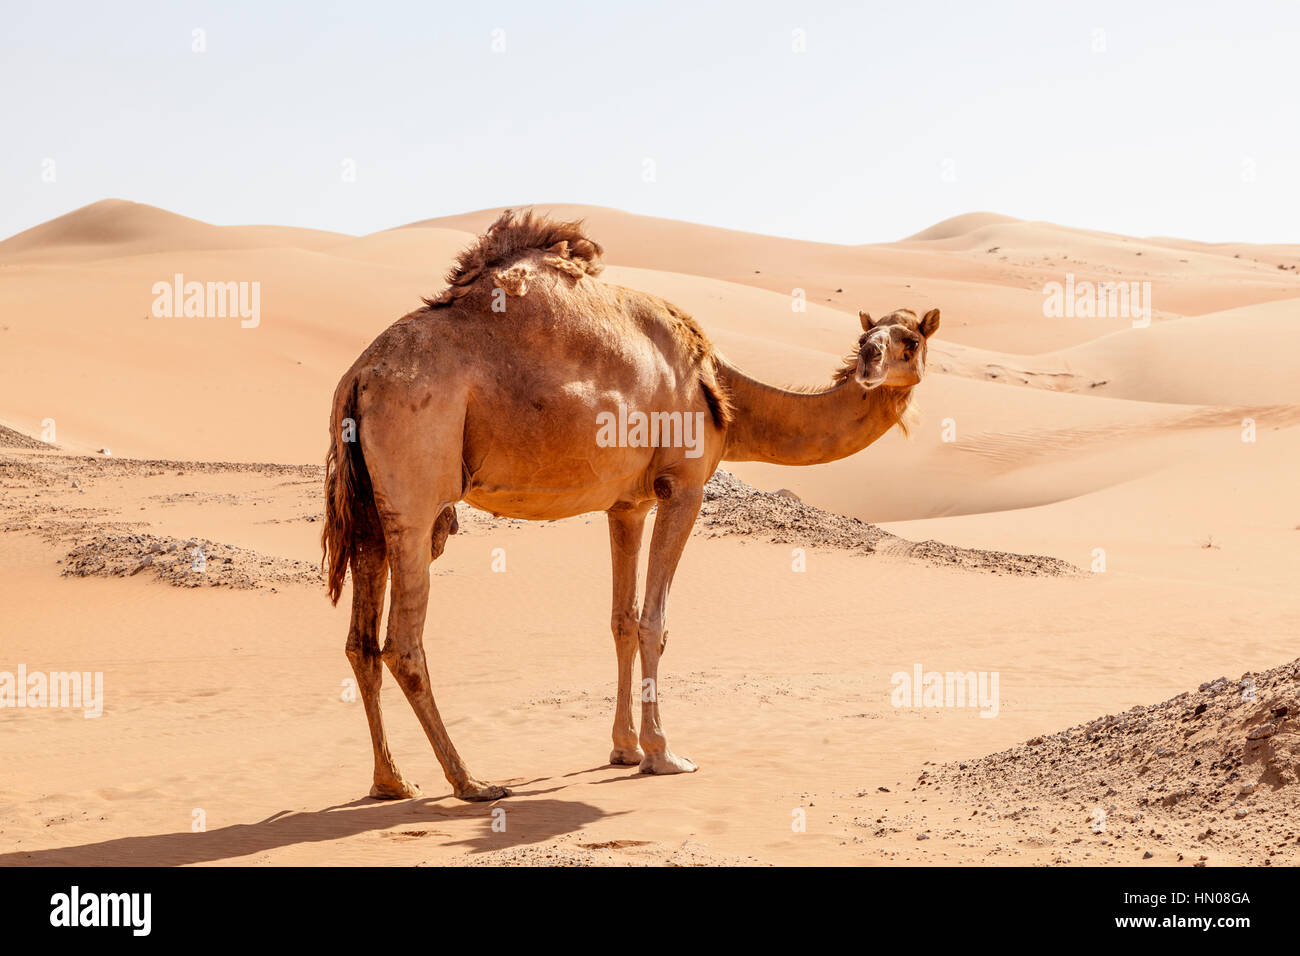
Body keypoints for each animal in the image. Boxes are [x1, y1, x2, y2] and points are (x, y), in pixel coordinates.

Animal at [322, 210, 939, 801]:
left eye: (907, 340)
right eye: (876, 338)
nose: (869, 362)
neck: (724, 390)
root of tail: (358, 376)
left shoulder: (628, 504)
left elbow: (621, 619)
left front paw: (623, 749)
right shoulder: (682, 486)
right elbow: (654, 622)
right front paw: (663, 754)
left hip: (371, 510)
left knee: (361, 642)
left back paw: (392, 781)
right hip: (415, 495)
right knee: (404, 644)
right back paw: (470, 781)